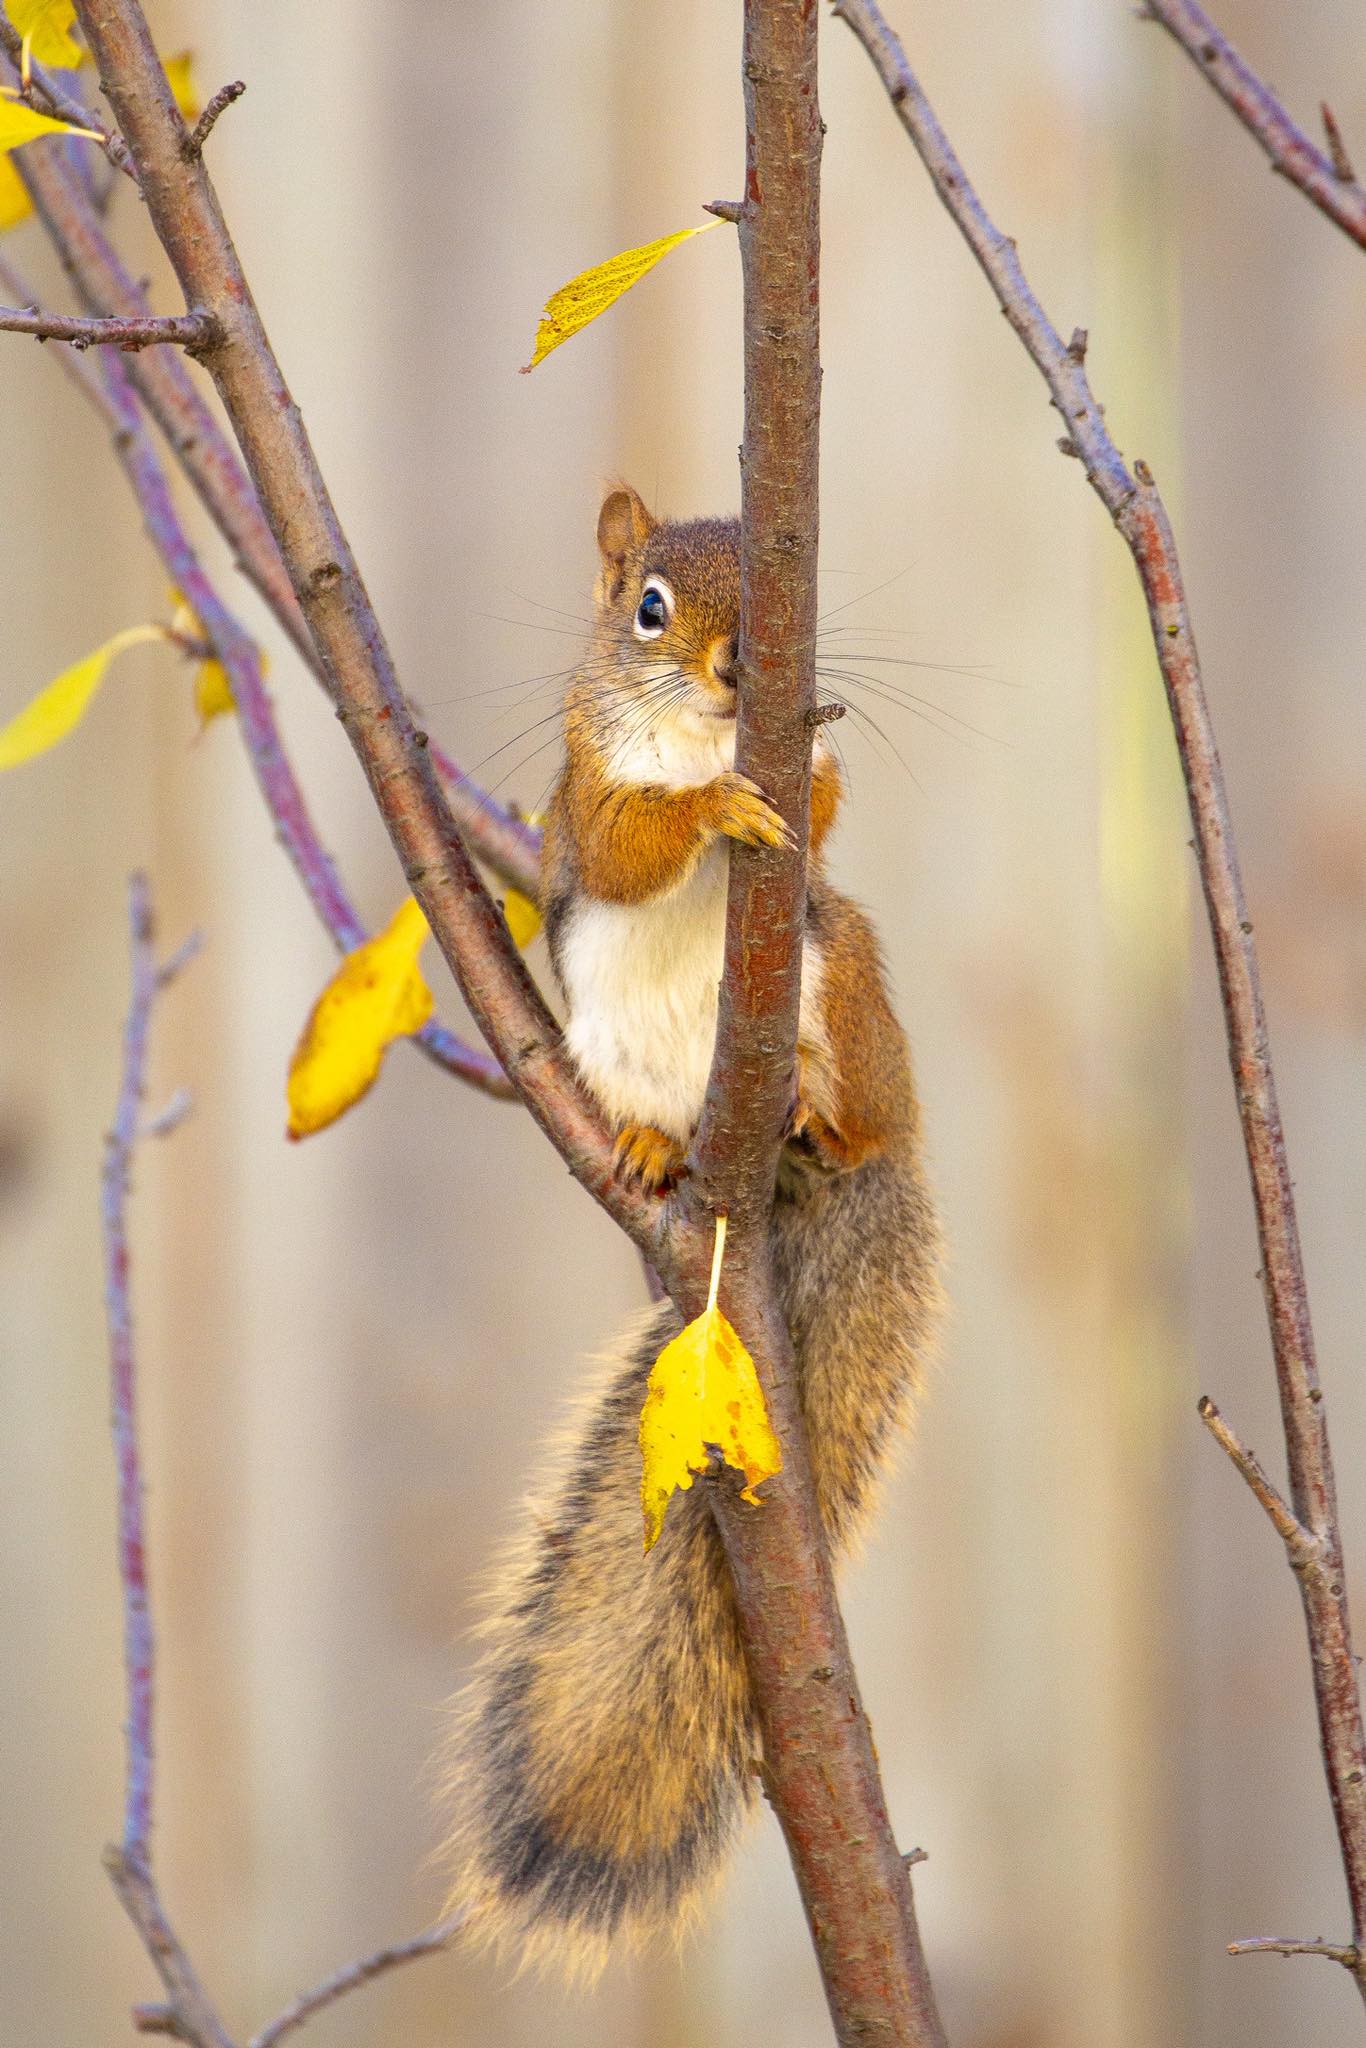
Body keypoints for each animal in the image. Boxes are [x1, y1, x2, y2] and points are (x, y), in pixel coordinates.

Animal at [438, 484, 943, 1973]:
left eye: (794, 596)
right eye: (648, 607)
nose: (739, 673)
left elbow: (820, 815)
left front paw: (795, 779)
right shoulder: (581, 775)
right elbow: (627, 841)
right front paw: (716, 802)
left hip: (845, 984)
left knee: (860, 1106)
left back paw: (830, 1122)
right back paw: (655, 1144)